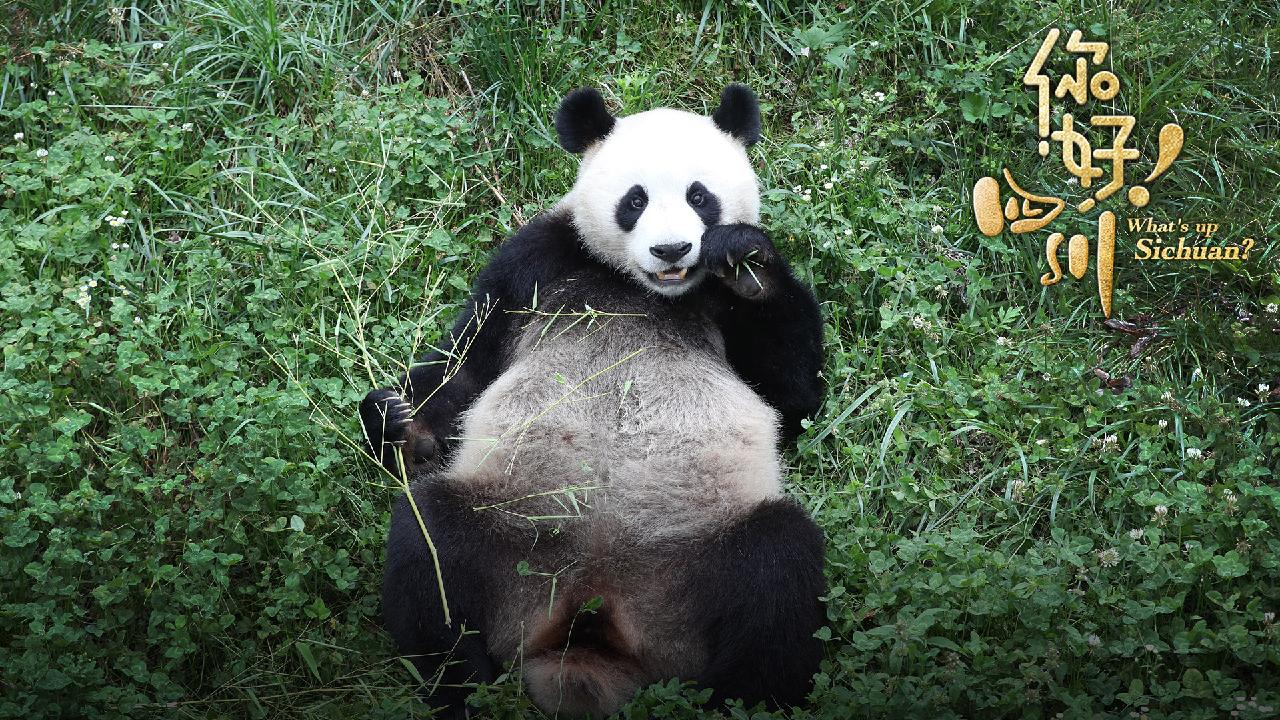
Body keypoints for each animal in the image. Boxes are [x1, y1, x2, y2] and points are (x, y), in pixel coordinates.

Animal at [361, 84, 827, 718]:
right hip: (513, 536)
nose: (672, 249)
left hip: (698, 561)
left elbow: (794, 393)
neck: (642, 288)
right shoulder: (534, 266)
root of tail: (592, 617)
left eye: (699, 196)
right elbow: (468, 367)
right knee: (428, 546)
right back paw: (465, 689)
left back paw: (736, 702)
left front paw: (745, 261)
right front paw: (399, 421)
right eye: (635, 199)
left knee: (779, 572)